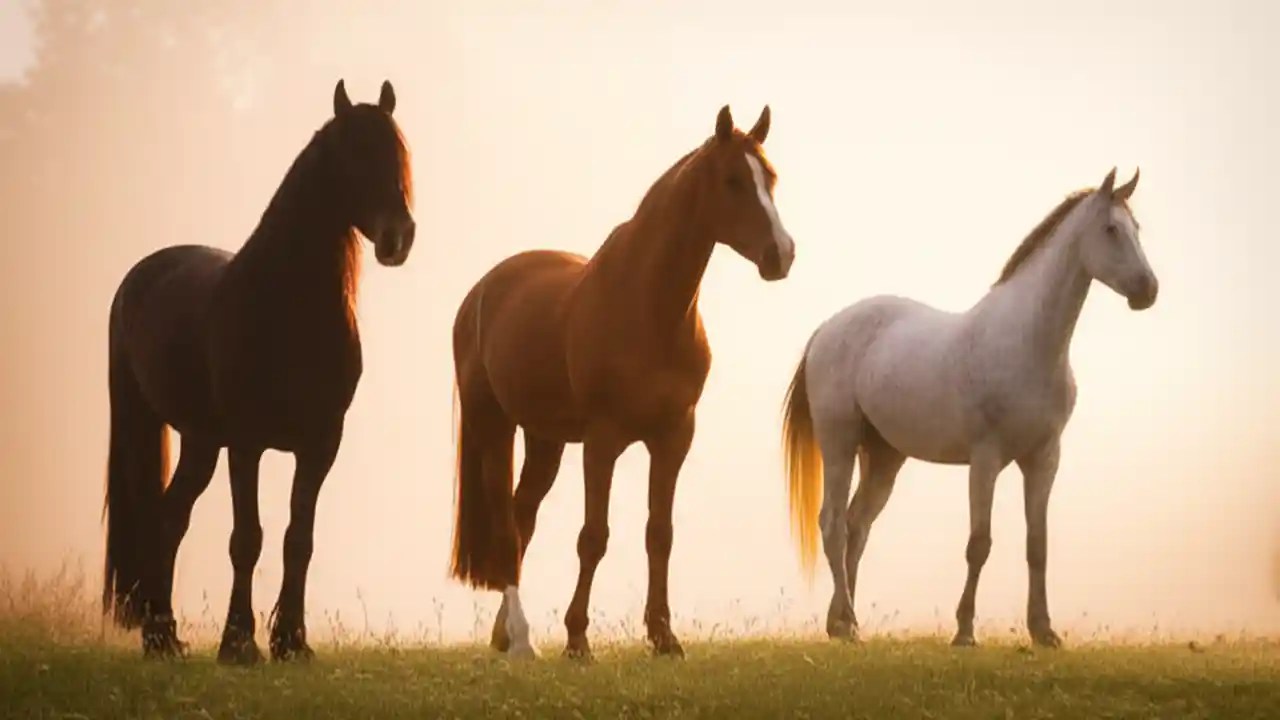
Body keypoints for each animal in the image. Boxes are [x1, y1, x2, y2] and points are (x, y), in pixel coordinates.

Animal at [101, 79, 416, 664]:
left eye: (399, 154)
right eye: (352, 155)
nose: (398, 237)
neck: (287, 308)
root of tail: (144, 273)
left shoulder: (320, 445)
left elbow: (299, 539)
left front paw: (291, 641)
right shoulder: (247, 444)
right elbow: (247, 539)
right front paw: (239, 642)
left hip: (201, 442)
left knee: (171, 518)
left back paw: (166, 636)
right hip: (150, 425)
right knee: (159, 517)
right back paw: (157, 636)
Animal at [447, 105, 795, 660]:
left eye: (771, 177)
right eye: (733, 180)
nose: (780, 254)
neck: (648, 308)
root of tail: (481, 292)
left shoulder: (674, 437)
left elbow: (660, 533)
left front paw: (664, 636)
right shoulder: (602, 440)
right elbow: (594, 535)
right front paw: (577, 639)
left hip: (545, 440)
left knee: (524, 516)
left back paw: (504, 634)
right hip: (494, 426)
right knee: (505, 523)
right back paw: (522, 640)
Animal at [782, 168, 1157, 648]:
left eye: (1137, 229)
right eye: (1111, 229)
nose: (1148, 290)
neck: (1028, 343)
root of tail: (825, 331)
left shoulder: (1043, 459)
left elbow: (1038, 545)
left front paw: (1043, 630)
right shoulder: (986, 459)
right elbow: (979, 543)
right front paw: (964, 631)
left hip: (884, 457)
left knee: (856, 527)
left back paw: (841, 624)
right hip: (840, 444)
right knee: (831, 525)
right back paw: (848, 623)